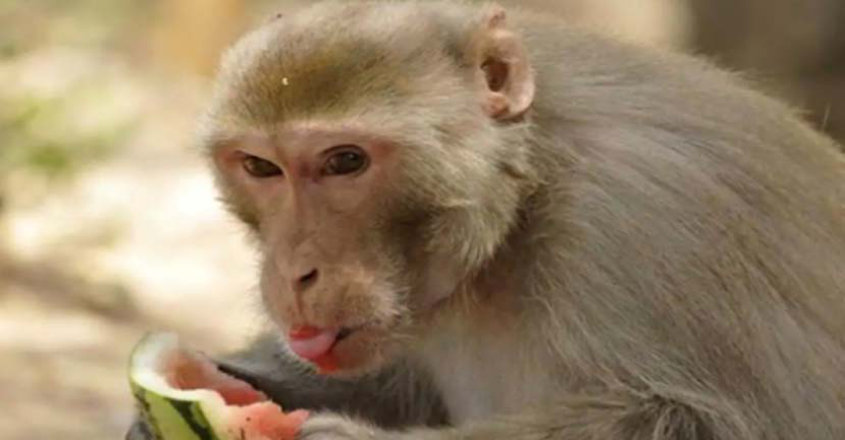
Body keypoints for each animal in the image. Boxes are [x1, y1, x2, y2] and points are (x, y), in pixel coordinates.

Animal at [127, 1, 845, 439]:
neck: (523, 198)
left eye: (344, 161)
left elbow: (707, 420)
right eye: (260, 167)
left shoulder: (645, 213)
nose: (295, 272)